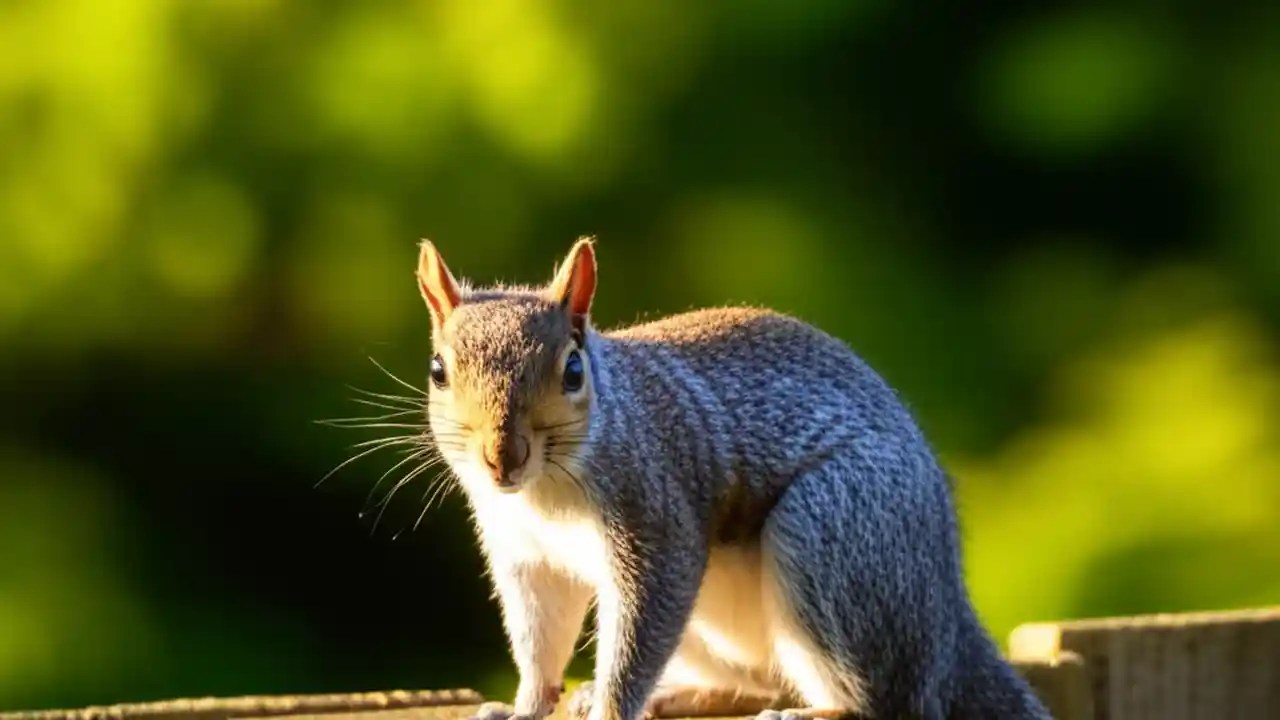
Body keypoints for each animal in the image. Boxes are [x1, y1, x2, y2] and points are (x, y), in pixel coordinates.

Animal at [411, 237, 1051, 720]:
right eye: (438, 371)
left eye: (572, 370)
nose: (503, 457)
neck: (542, 493)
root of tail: (949, 618)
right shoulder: (528, 557)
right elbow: (540, 641)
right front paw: (526, 707)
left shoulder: (655, 520)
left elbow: (639, 632)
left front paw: (612, 709)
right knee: (762, 680)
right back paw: (682, 695)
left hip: (835, 537)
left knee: (885, 702)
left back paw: (811, 713)